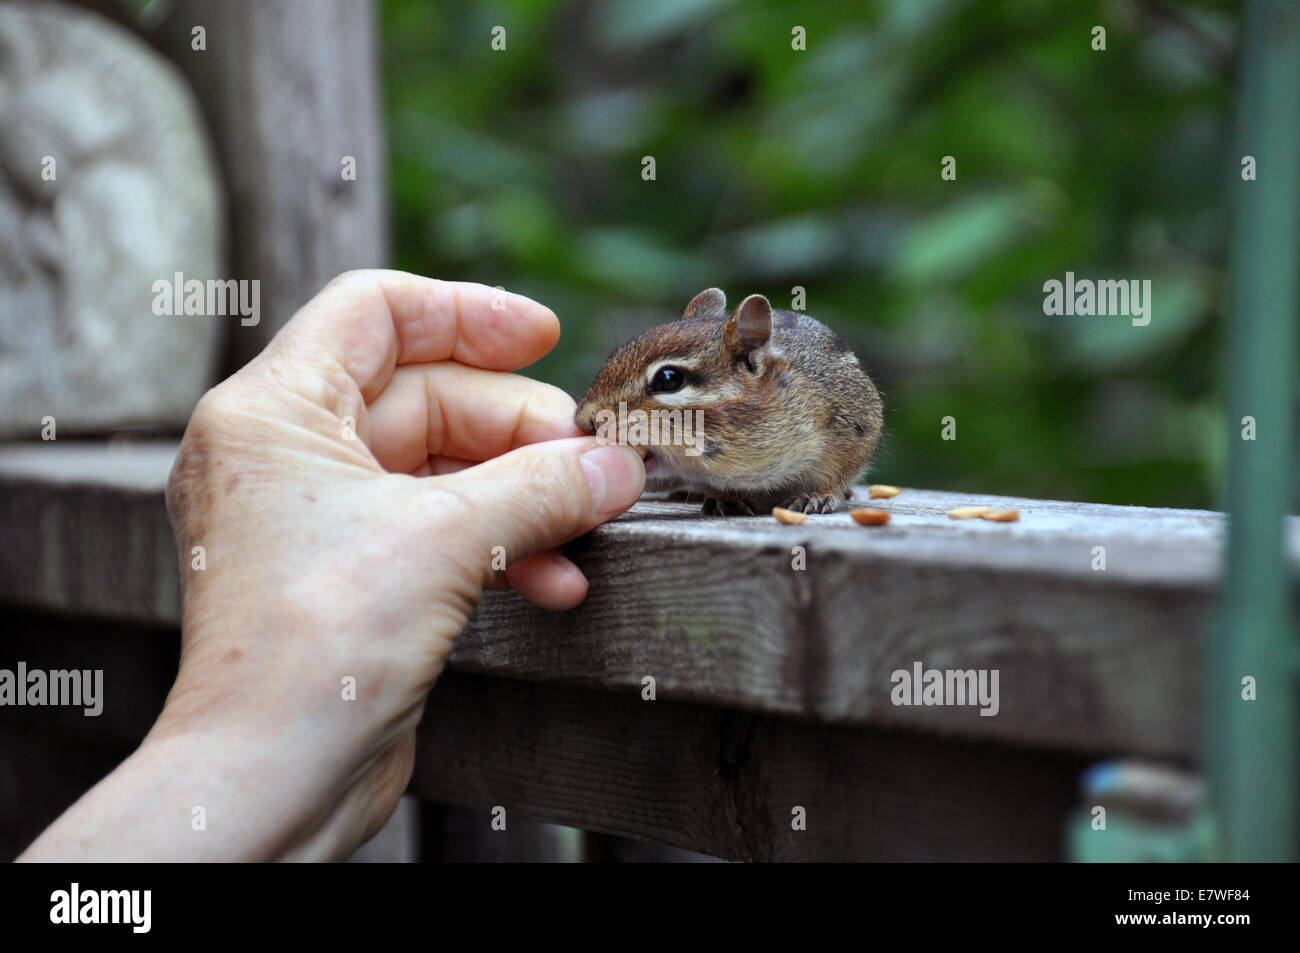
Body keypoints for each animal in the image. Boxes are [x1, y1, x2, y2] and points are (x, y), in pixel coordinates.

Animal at [574, 288, 884, 516]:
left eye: (669, 379)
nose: (583, 420)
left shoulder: (853, 426)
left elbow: (838, 473)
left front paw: (817, 496)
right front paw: (725, 498)